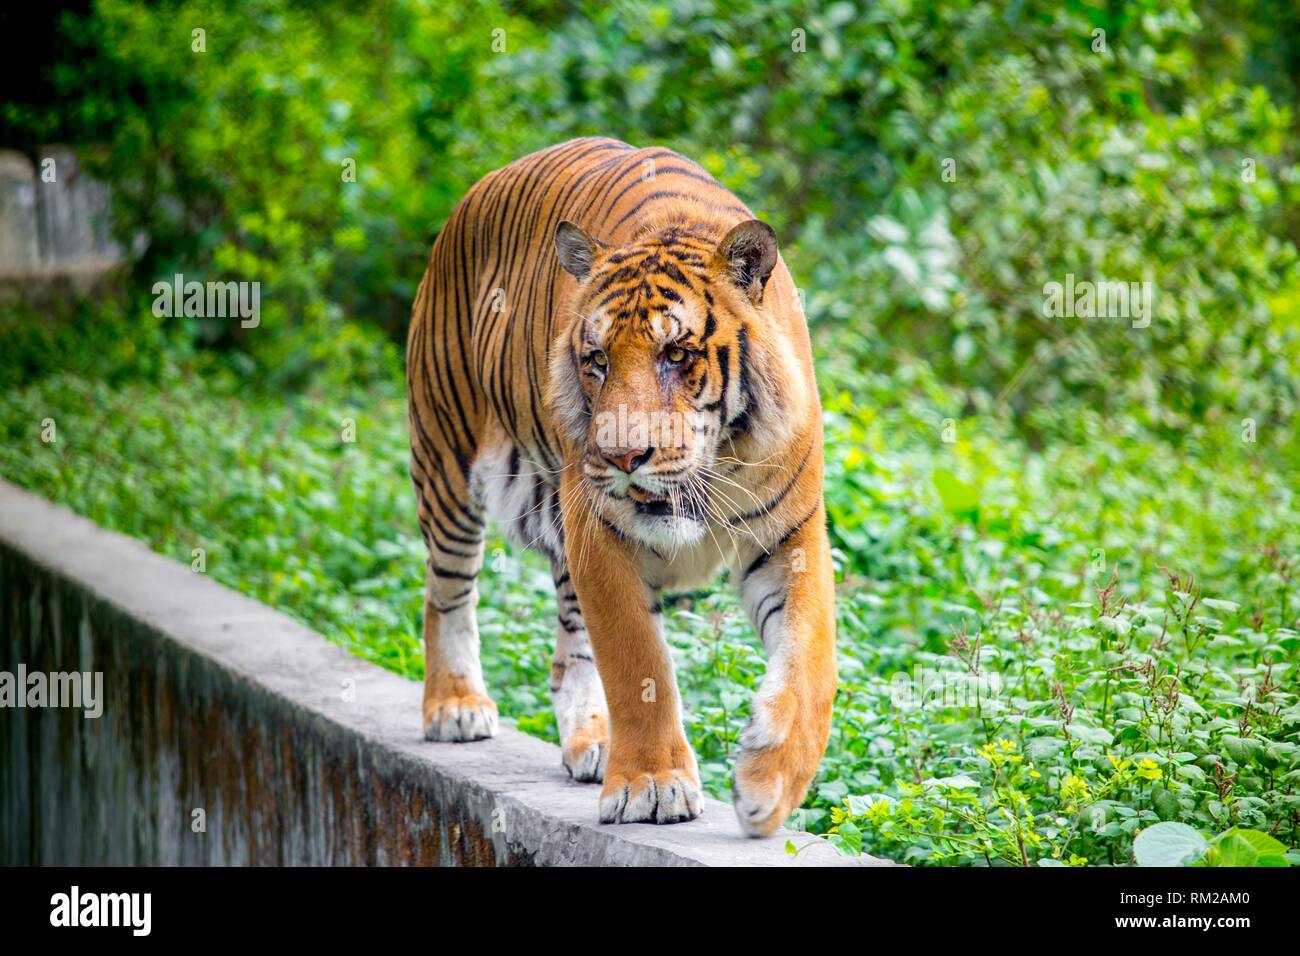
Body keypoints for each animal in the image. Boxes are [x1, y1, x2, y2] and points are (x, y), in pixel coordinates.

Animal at [406, 137, 836, 836]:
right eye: (597, 360)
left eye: (677, 355)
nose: (622, 455)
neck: (716, 467)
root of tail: (474, 192)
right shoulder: (598, 529)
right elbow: (638, 661)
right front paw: (652, 786)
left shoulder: (790, 535)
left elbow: (811, 660)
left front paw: (768, 782)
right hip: (447, 462)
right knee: (446, 592)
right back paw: (455, 706)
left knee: (568, 651)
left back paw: (593, 741)